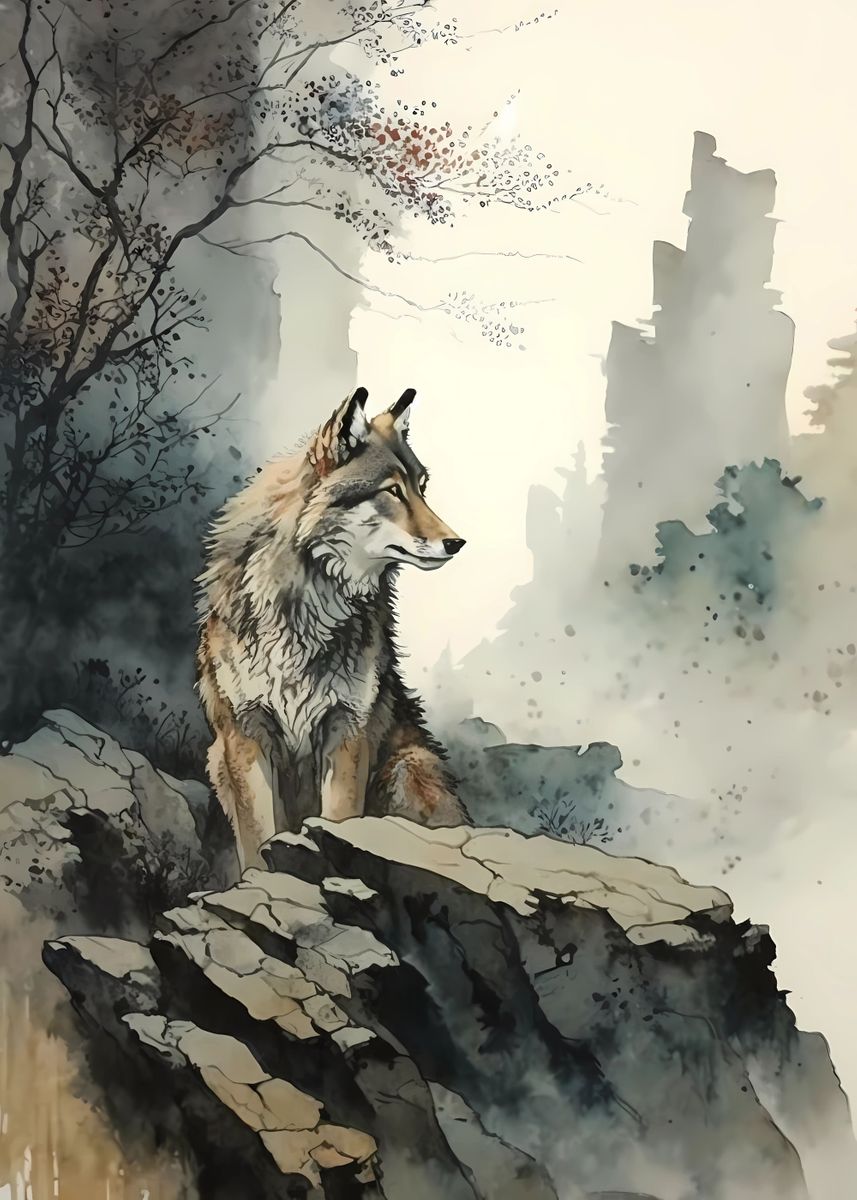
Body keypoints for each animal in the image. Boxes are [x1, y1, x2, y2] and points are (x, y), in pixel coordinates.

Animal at [196, 386, 469, 869]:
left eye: (421, 488)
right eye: (392, 491)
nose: (456, 542)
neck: (304, 609)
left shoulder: (346, 730)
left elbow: (341, 823)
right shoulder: (246, 733)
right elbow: (258, 838)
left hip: (409, 766)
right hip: (217, 765)